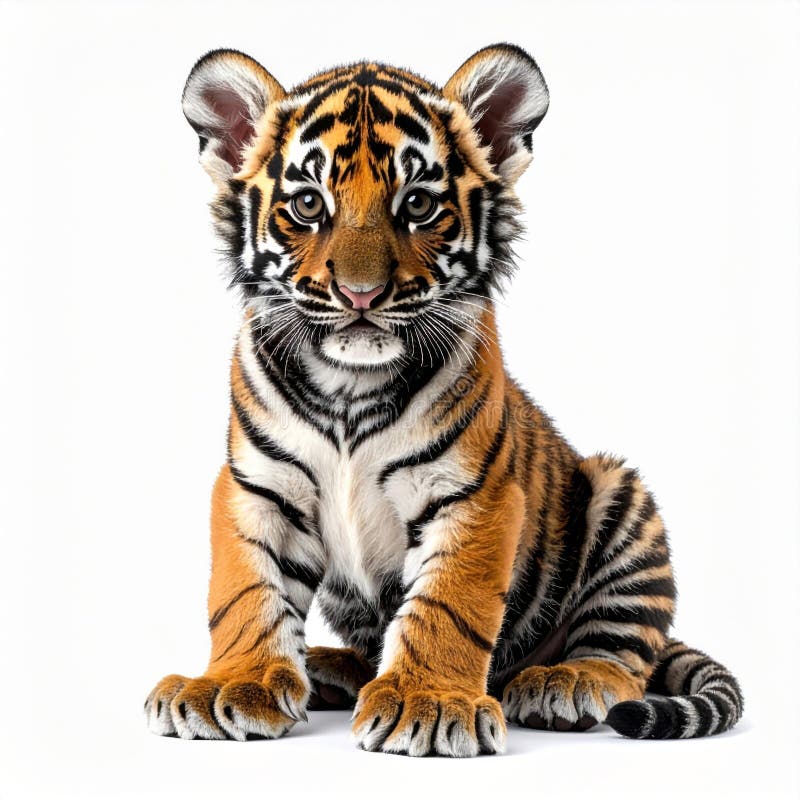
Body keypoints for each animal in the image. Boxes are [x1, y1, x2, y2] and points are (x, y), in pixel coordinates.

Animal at [144, 43, 743, 756]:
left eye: (420, 204)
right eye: (310, 204)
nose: (361, 294)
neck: (350, 386)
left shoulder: (474, 492)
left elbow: (447, 603)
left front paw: (426, 704)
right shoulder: (257, 485)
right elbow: (245, 591)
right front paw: (233, 684)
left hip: (620, 498)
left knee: (625, 652)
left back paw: (567, 680)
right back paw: (328, 668)